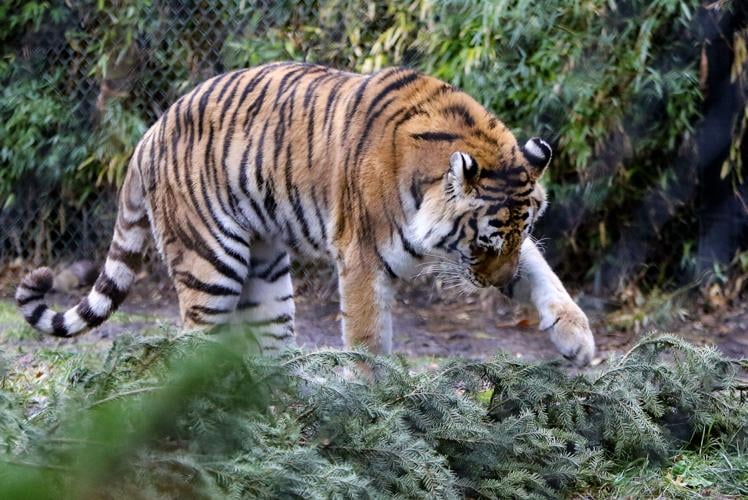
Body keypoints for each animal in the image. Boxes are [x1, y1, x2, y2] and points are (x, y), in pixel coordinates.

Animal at [16, 62, 596, 365]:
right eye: (482, 243)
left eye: (516, 237)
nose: (498, 285)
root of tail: (150, 131)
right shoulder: (362, 259)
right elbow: (367, 341)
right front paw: (375, 403)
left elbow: (546, 277)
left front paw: (578, 339)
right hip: (210, 265)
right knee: (194, 343)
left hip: (268, 275)